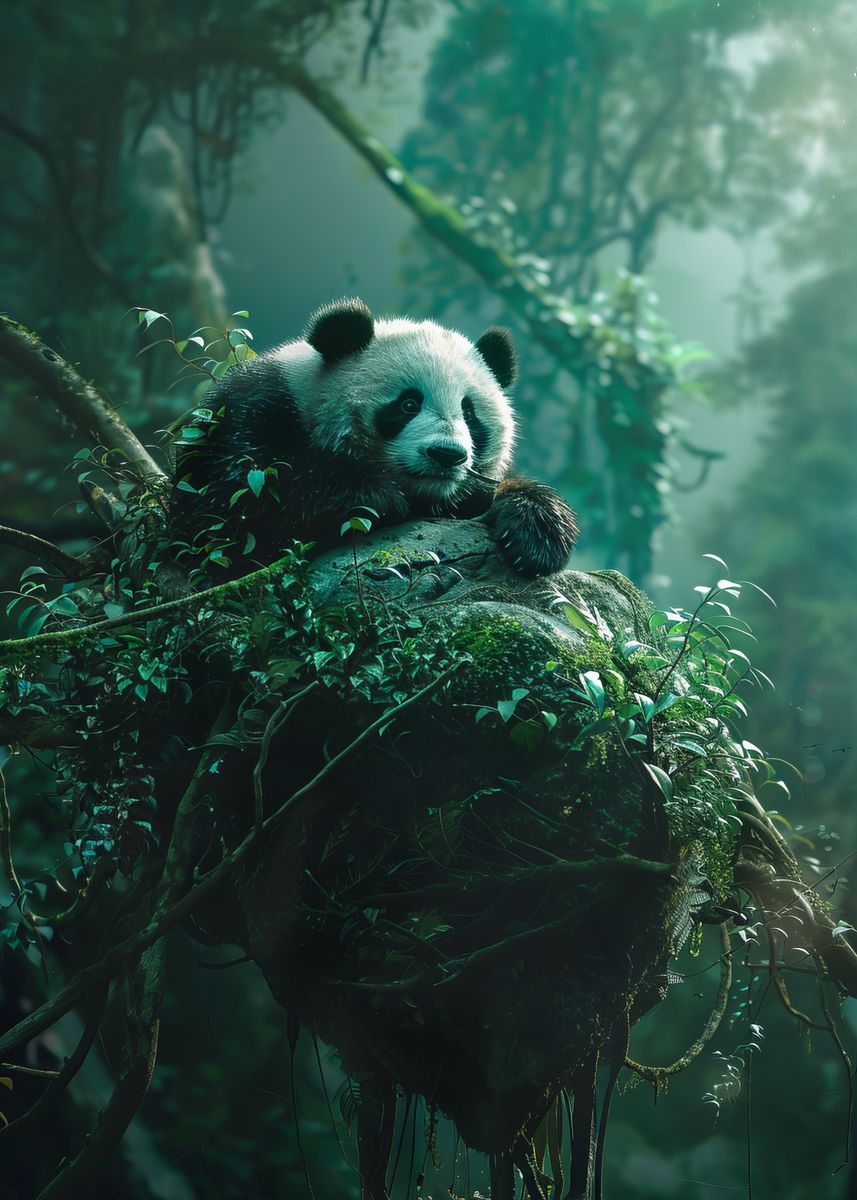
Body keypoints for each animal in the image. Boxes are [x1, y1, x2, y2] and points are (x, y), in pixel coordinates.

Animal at [173, 298, 579, 577]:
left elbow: (493, 492)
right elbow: (238, 503)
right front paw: (373, 499)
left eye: (469, 412)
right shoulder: (252, 409)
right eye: (408, 404)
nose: (446, 455)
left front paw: (535, 534)